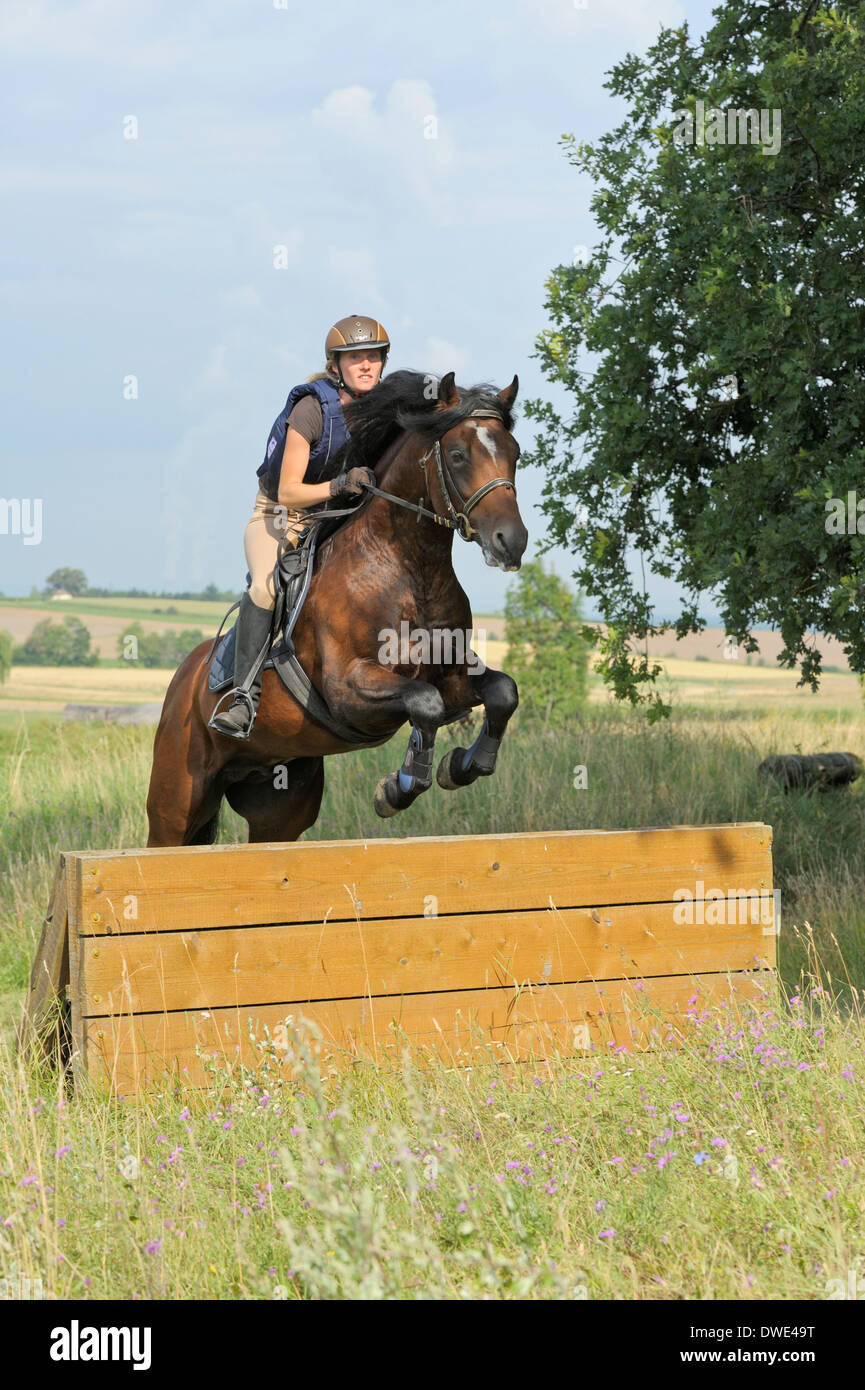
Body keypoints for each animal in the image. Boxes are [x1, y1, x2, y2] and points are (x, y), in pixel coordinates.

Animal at [145, 370, 528, 846]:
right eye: (457, 456)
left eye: (515, 454)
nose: (512, 542)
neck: (410, 566)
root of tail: (184, 676)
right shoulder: (349, 687)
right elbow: (425, 704)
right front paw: (395, 789)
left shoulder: (452, 671)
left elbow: (501, 692)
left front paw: (458, 766)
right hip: (176, 801)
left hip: (280, 803)